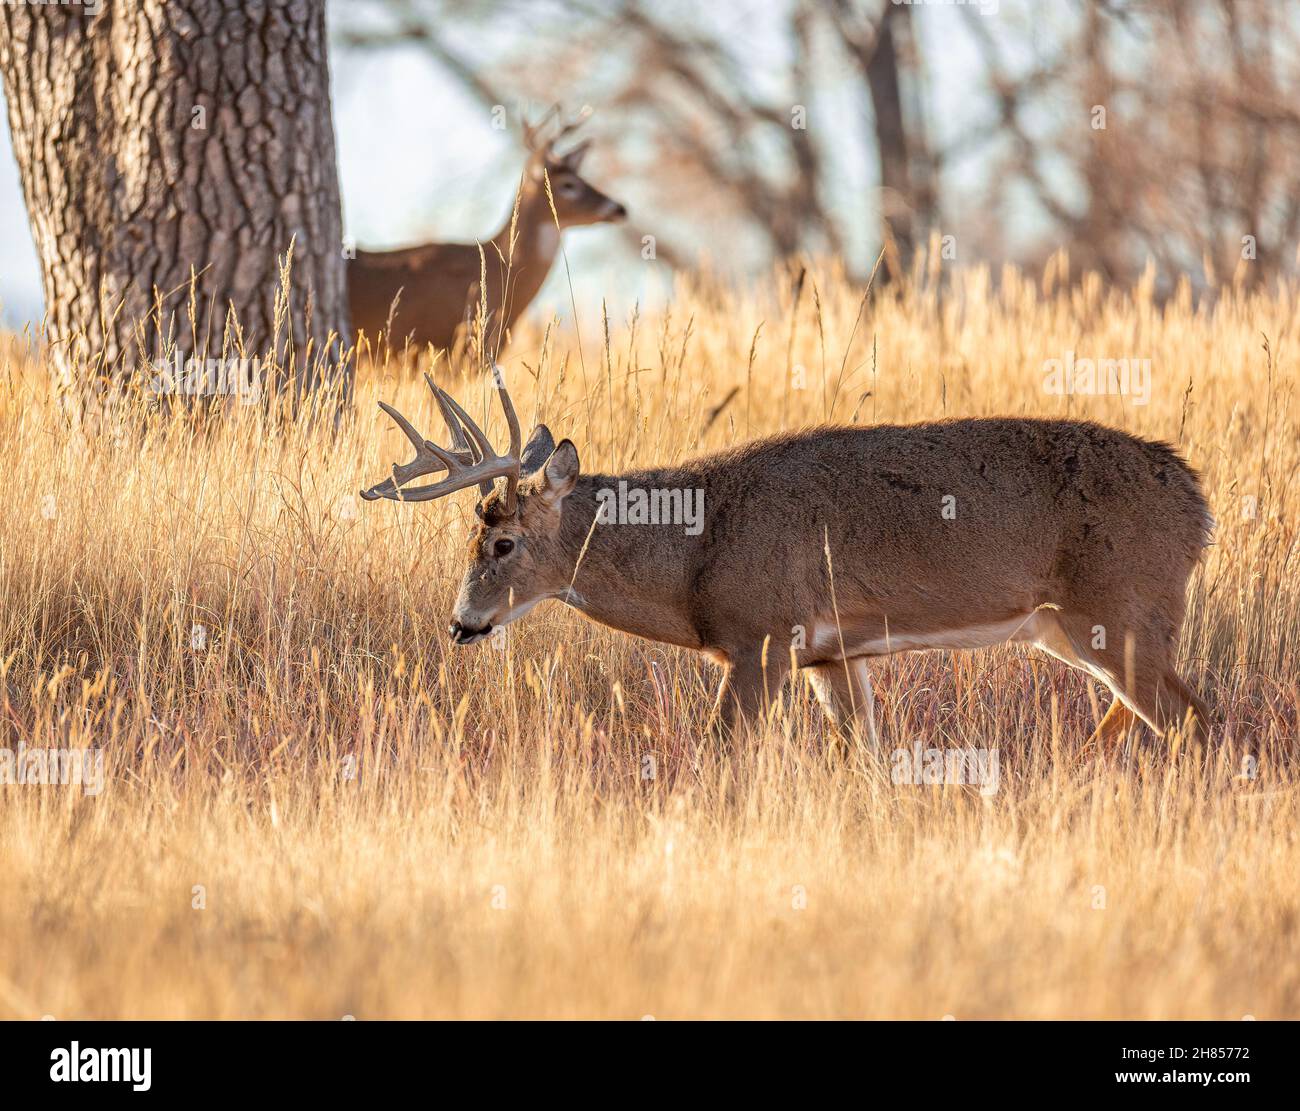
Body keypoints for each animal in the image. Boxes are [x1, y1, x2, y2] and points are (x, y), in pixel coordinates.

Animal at [361, 375, 1213, 749]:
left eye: (503, 543)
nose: (461, 623)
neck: (696, 550)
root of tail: (1198, 502)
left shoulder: (763, 637)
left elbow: (719, 751)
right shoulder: (832, 654)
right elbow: (870, 755)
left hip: (1120, 610)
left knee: (1200, 722)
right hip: (1071, 629)